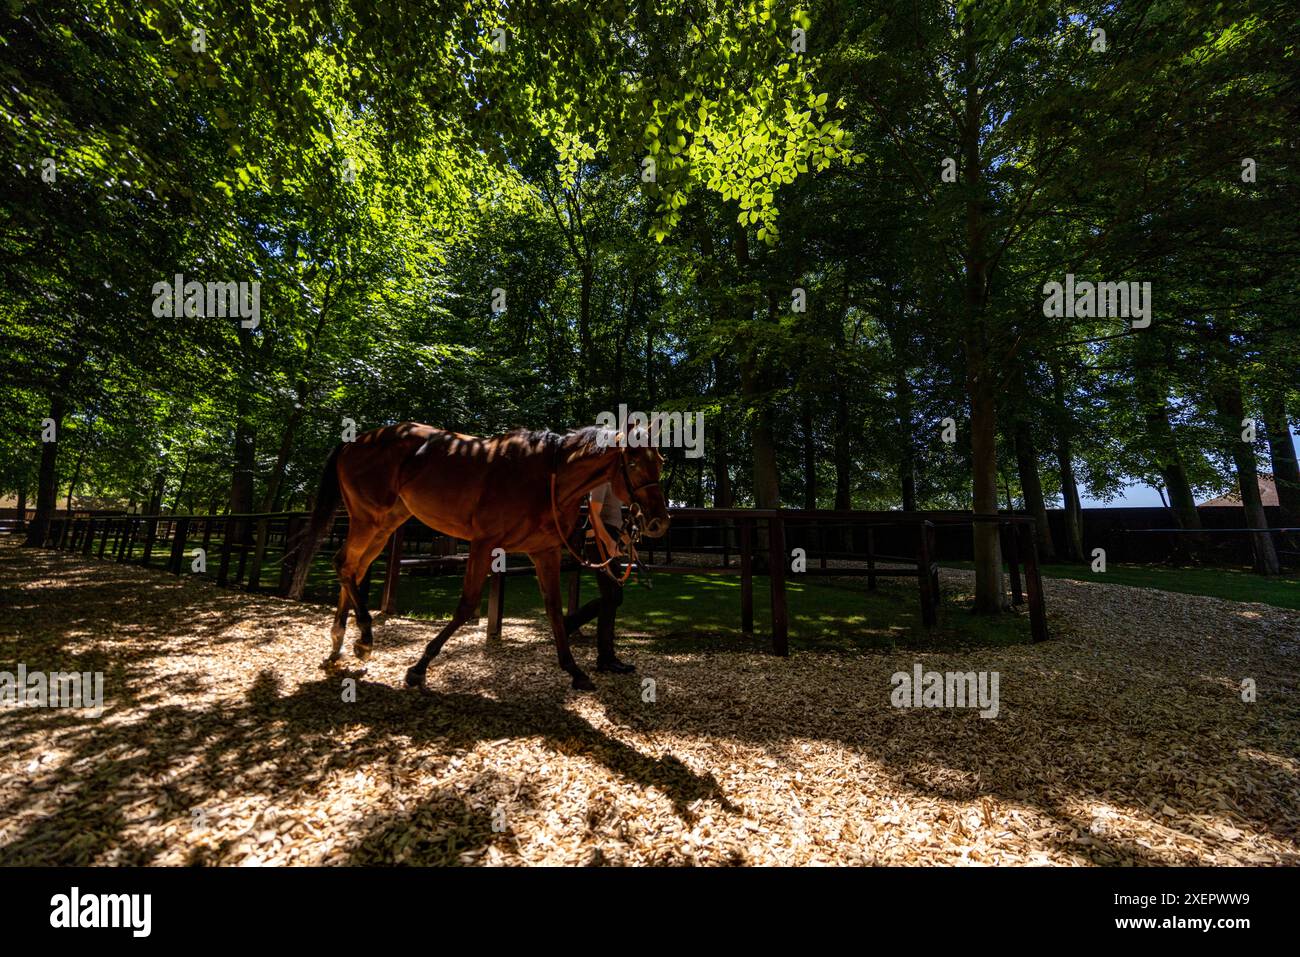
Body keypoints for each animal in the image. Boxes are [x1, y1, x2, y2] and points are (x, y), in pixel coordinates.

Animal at [287, 422, 669, 691]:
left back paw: (341, 642)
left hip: (385, 523)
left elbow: (554, 611)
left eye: (660, 462)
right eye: (633, 462)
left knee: (353, 568)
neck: (548, 477)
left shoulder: (544, 552)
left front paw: (574, 670)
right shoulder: (484, 544)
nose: (659, 521)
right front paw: (420, 667)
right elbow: (467, 605)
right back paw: (363, 637)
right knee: (344, 565)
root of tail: (354, 441)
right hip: (368, 519)